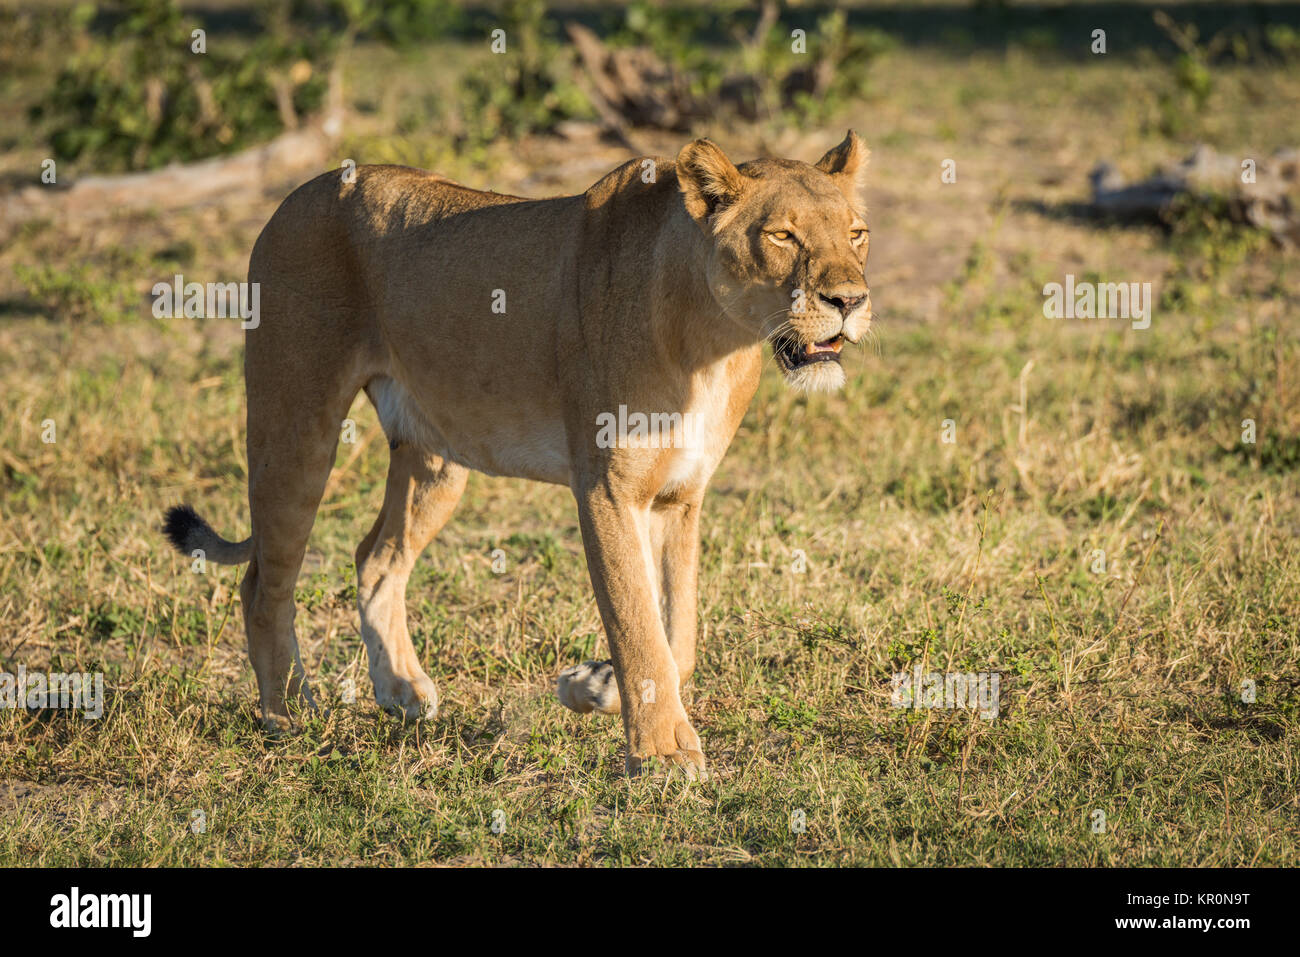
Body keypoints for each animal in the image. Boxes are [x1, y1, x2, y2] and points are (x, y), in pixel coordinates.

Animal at [162, 131, 872, 777]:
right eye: (783, 236)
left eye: (857, 234)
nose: (851, 300)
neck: (715, 345)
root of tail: (293, 198)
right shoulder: (607, 490)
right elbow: (638, 623)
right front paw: (663, 757)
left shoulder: (678, 497)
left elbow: (678, 632)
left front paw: (597, 686)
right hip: (295, 419)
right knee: (265, 582)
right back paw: (290, 714)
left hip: (435, 458)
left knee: (376, 557)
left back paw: (401, 691)